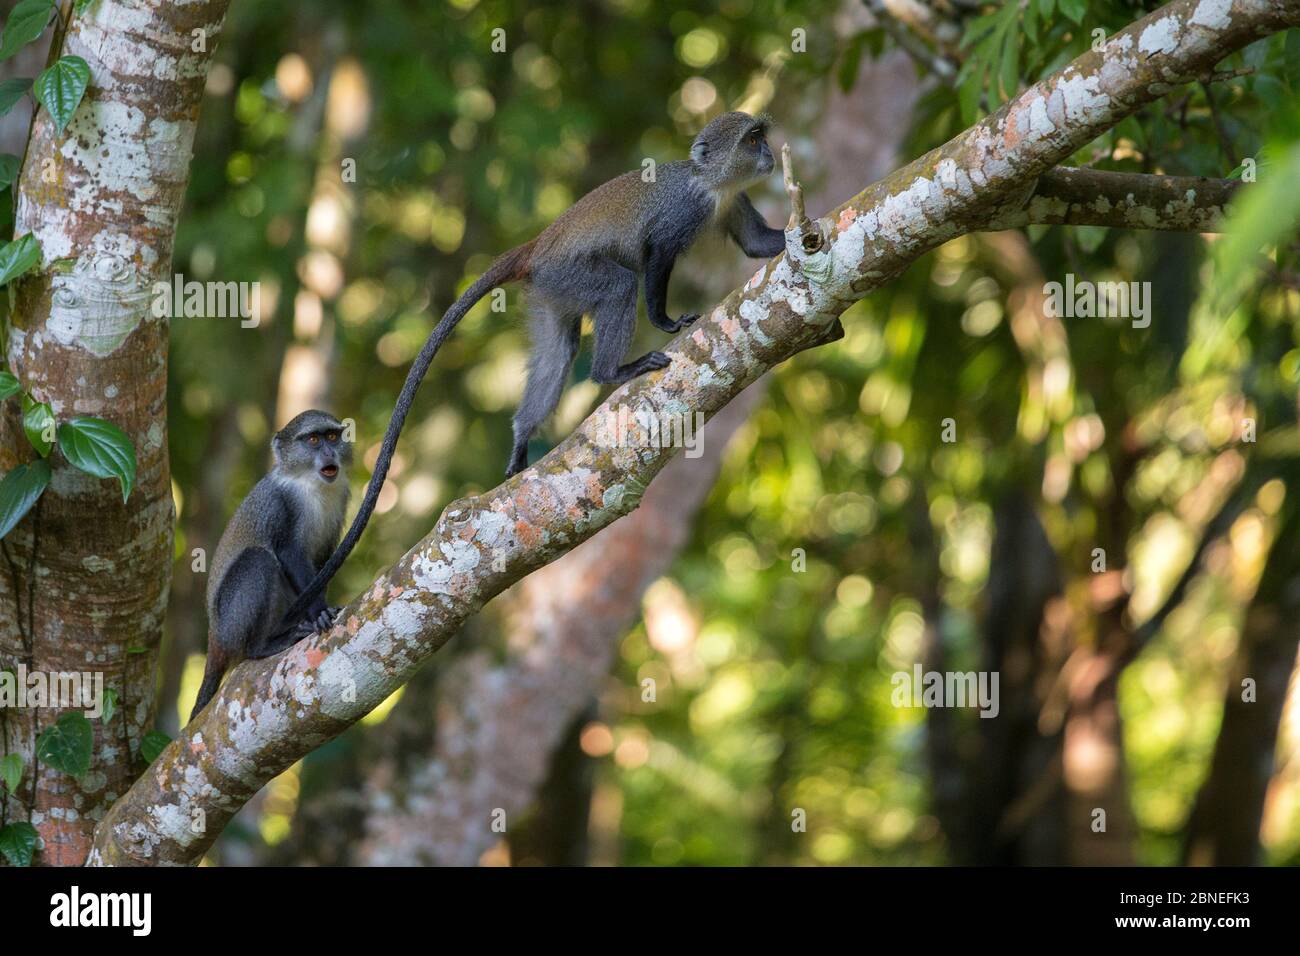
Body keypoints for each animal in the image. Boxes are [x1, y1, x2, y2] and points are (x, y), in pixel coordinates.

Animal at [188, 409, 353, 723]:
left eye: (332, 437)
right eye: (313, 440)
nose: (329, 453)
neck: (308, 483)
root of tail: (215, 636)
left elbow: (324, 560)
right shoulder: (279, 504)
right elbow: (289, 553)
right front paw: (320, 613)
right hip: (231, 623)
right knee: (258, 560)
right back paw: (262, 646)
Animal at [279, 110, 786, 633]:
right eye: (753, 140)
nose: (771, 154)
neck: (711, 184)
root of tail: (537, 246)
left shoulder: (734, 200)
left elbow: (757, 245)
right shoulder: (681, 215)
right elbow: (655, 258)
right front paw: (666, 322)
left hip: (548, 290)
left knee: (558, 353)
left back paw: (523, 436)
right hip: (569, 273)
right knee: (620, 286)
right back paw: (613, 372)